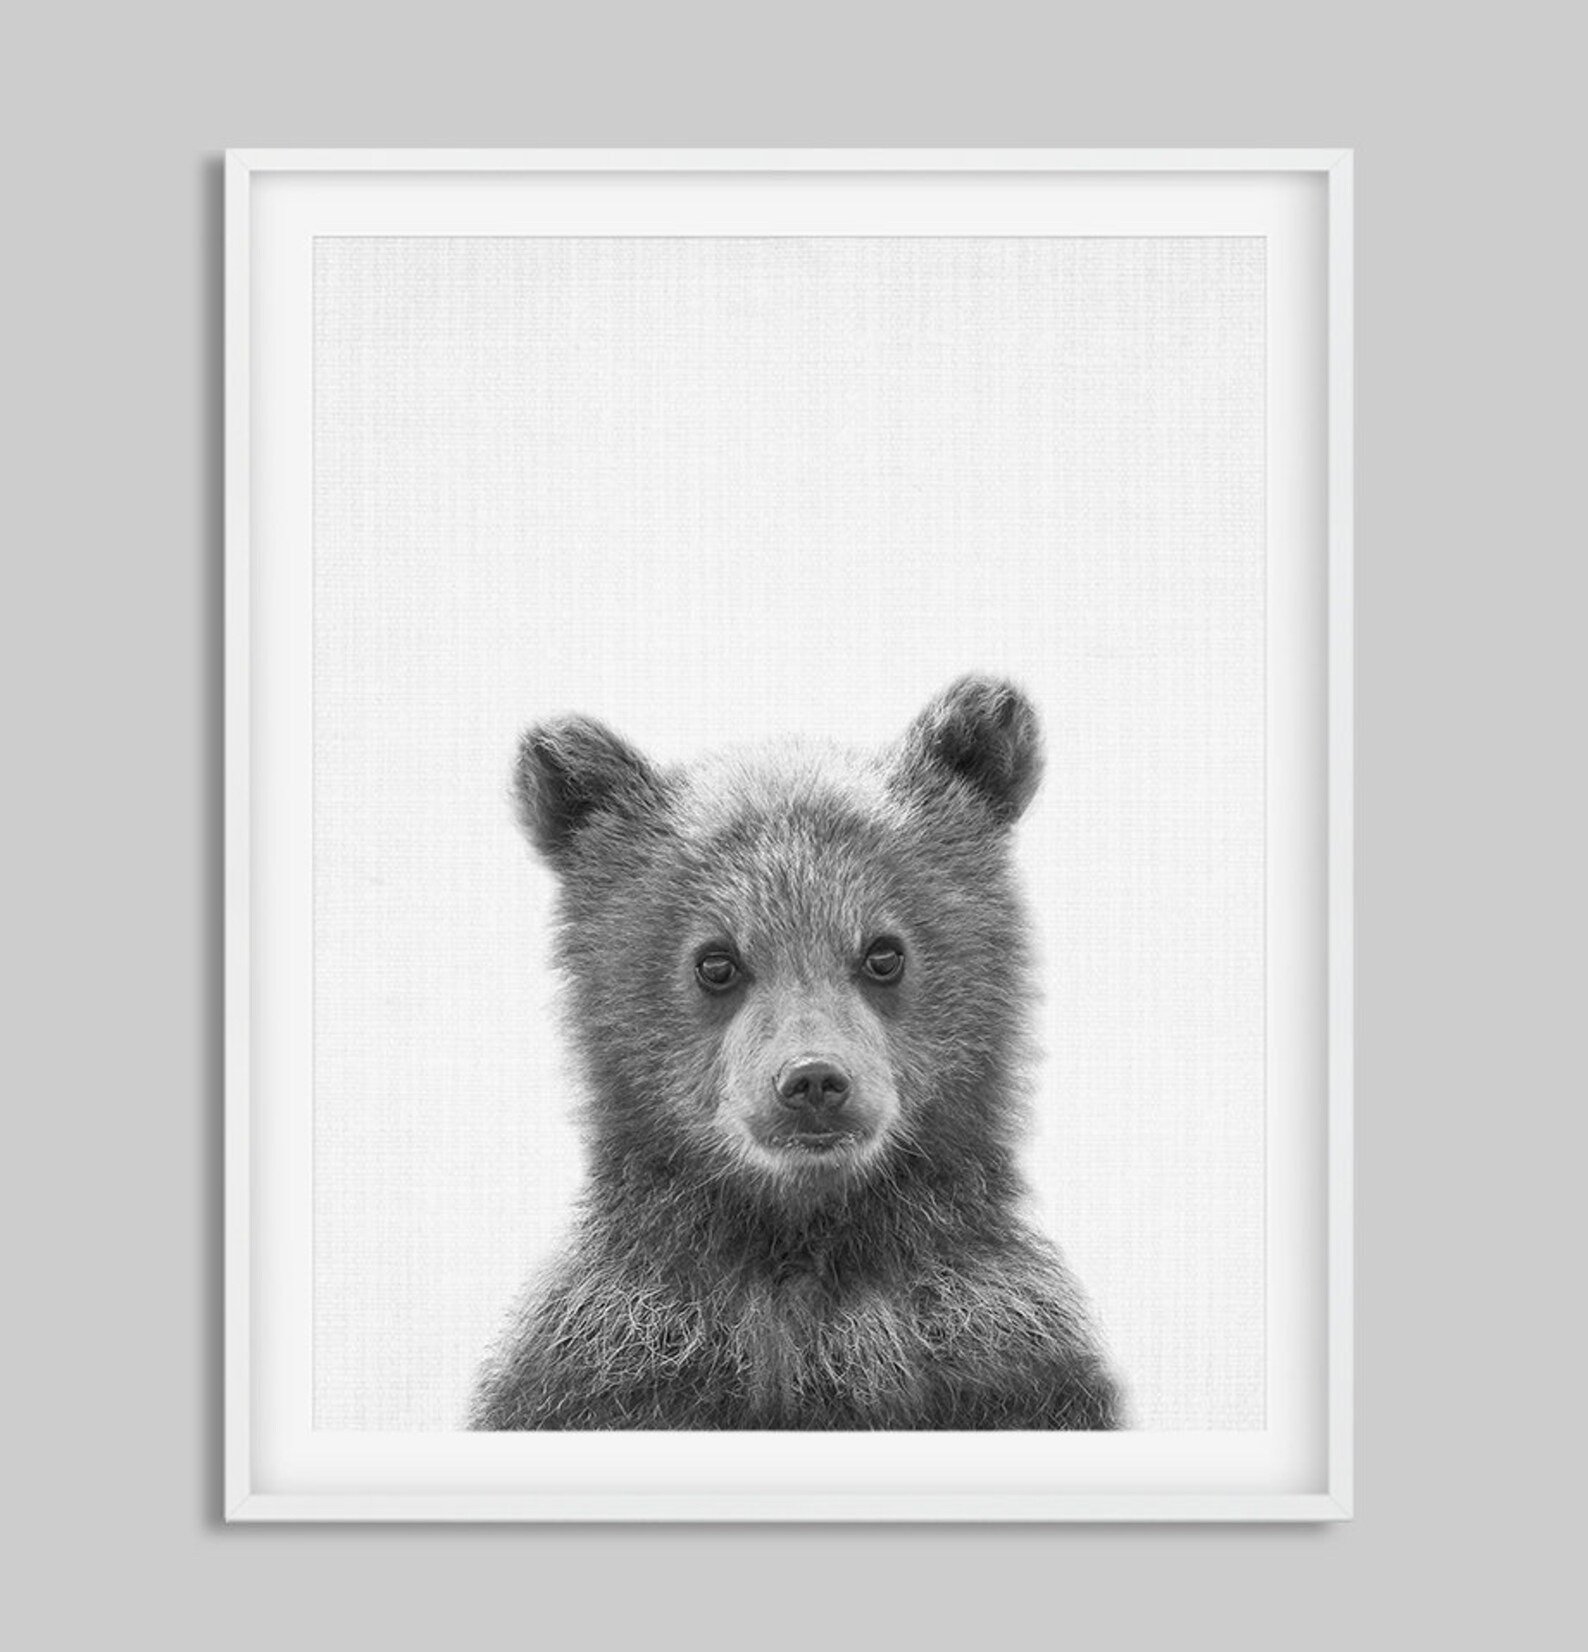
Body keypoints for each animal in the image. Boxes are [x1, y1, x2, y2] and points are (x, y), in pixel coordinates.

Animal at [469, 675, 1122, 1430]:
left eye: (884, 953)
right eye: (716, 961)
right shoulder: (611, 1359)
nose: (813, 1081)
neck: (800, 1237)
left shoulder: (1005, 1359)